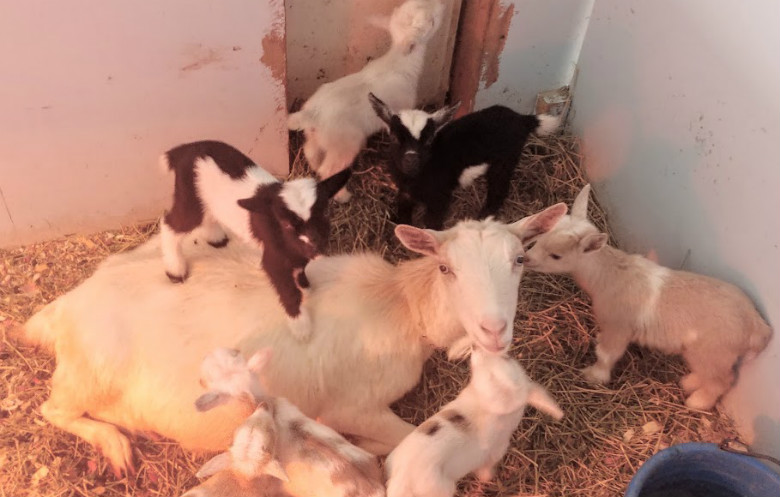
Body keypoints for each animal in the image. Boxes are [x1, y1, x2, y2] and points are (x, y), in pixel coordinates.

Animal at [21, 202, 567, 474]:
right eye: (446, 268)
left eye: (520, 260)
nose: (493, 331)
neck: (402, 306)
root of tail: (61, 307)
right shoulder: (353, 406)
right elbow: (396, 437)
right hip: (88, 374)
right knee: (52, 409)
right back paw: (115, 446)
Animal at [160, 140, 351, 339]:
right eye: (286, 224)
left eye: (325, 213)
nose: (316, 244)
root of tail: (182, 150)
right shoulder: (273, 257)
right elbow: (288, 291)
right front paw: (301, 326)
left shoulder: (299, 253)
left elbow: (299, 269)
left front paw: (305, 287)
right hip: (189, 195)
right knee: (171, 224)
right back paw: (175, 270)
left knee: (208, 215)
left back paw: (215, 238)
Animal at [288, 0, 445, 202]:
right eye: (432, 21)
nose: (442, 5)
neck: (399, 62)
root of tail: (312, 114)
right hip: (344, 144)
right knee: (329, 169)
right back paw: (343, 196)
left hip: (315, 136)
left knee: (310, 152)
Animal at [369, 94, 561, 229]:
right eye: (394, 138)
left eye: (429, 140)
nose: (411, 160)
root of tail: (522, 119)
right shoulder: (405, 191)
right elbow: (403, 210)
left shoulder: (440, 195)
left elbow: (432, 222)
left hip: (506, 160)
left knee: (499, 190)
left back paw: (483, 216)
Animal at [523, 185, 773, 410]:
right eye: (541, 237)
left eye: (556, 255)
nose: (525, 259)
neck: (610, 275)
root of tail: (757, 325)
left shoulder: (619, 327)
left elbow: (607, 353)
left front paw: (594, 376)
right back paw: (689, 382)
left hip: (714, 351)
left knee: (722, 381)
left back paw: (697, 402)